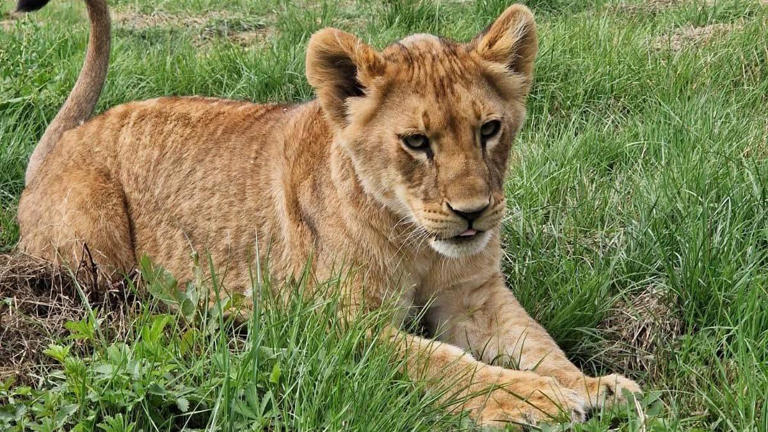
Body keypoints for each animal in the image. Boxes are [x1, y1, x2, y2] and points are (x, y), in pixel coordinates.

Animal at [15, 0, 641, 426]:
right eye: (416, 142)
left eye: (489, 129)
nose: (473, 214)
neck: (417, 243)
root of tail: (64, 139)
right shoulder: (335, 328)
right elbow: (444, 363)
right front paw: (535, 399)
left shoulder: (475, 297)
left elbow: (539, 344)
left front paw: (599, 387)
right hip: (96, 257)